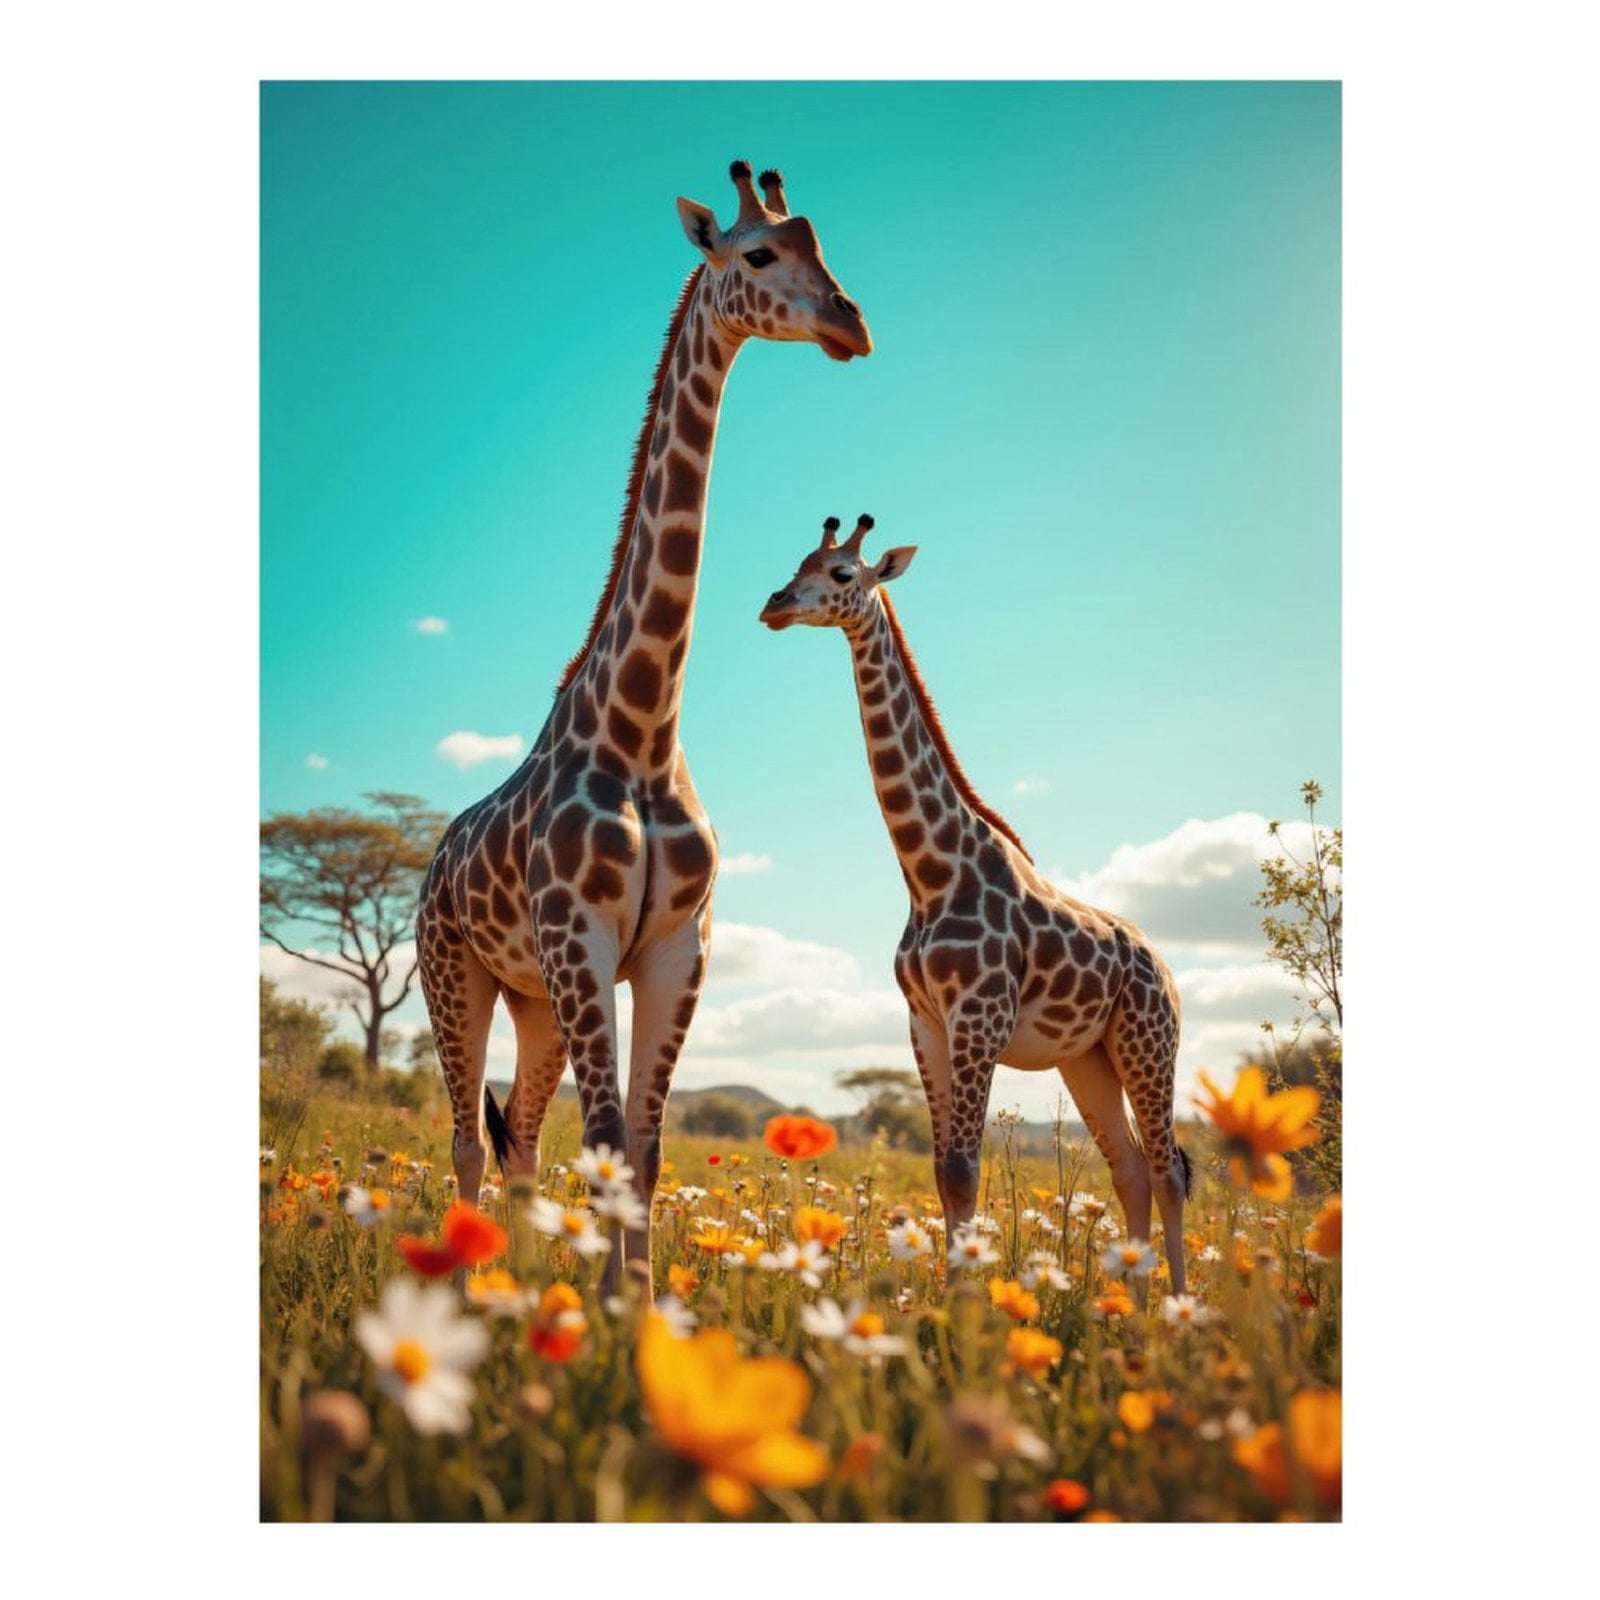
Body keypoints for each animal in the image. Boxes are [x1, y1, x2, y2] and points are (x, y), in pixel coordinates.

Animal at [417, 164, 872, 1287]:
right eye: (759, 253)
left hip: (532, 998)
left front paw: (633, 1309)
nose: (852, 324)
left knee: (519, 1137)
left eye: (826, 246)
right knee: (467, 1141)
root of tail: (431, 859)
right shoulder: (582, 937)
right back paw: (472, 1285)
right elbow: (610, 1140)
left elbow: (647, 1149)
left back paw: (517, 1285)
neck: (644, 725)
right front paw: (614, 1313)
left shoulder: (673, 949)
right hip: (456, 974)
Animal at [760, 516, 1191, 1293]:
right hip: (1088, 1059)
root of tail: (1166, 969)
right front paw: (948, 1304)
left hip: (1150, 1043)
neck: (929, 872)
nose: (773, 605)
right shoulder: (926, 1023)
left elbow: (964, 1171)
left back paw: (1179, 1311)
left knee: (1170, 1171)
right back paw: (1135, 1309)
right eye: (797, 562)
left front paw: (964, 1307)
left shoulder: (978, 1020)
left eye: (841, 574)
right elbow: (943, 1174)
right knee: (1132, 1171)